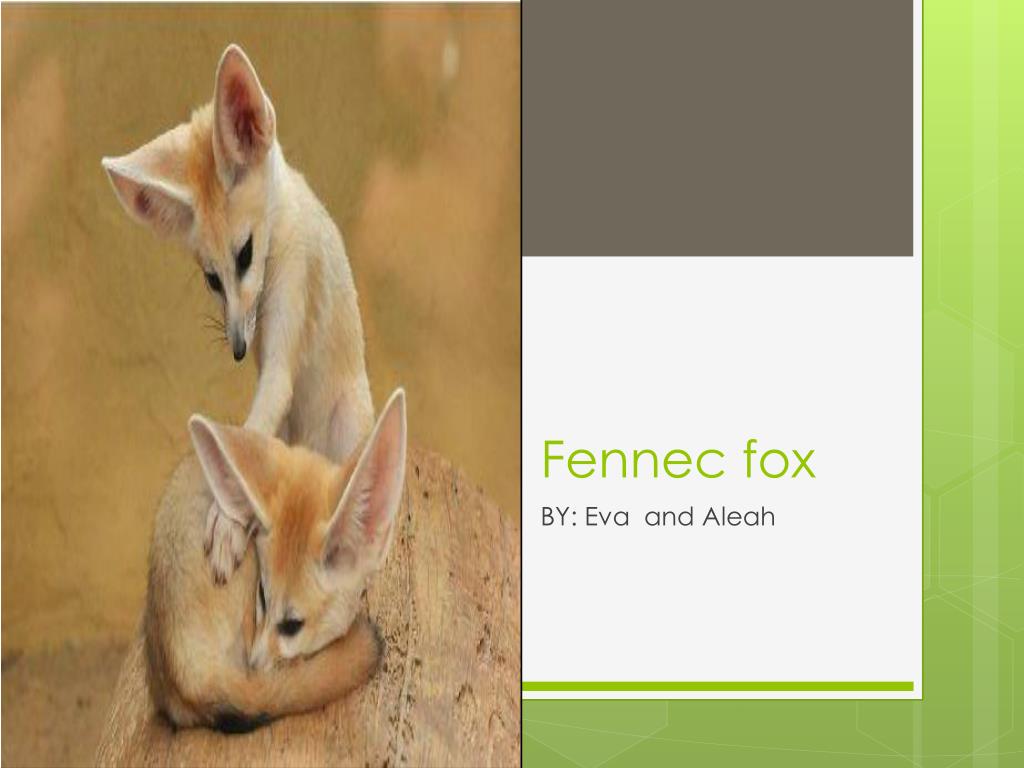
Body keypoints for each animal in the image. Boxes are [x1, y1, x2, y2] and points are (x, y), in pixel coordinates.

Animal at [102, 44, 373, 583]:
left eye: (246, 255)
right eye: (211, 279)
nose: (237, 350)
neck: (284, 223)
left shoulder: (284, 343)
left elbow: (254, 427)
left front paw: (227, 523)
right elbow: (248, 441)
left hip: (350, 418)